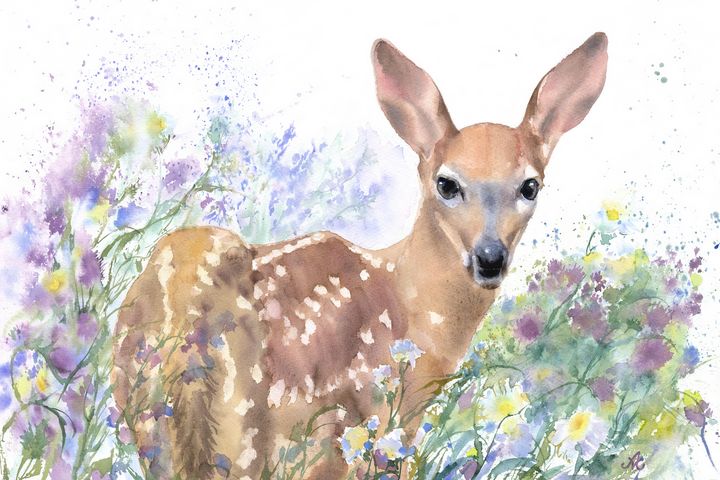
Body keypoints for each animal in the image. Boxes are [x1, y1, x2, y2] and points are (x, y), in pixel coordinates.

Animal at [112, 32, 608, 479]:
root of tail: (181, 322)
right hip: (249, 428)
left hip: (152, 425)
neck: (411, 303)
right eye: (447, 183)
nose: (489, 258)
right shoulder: (379, 422)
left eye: (530, 186)